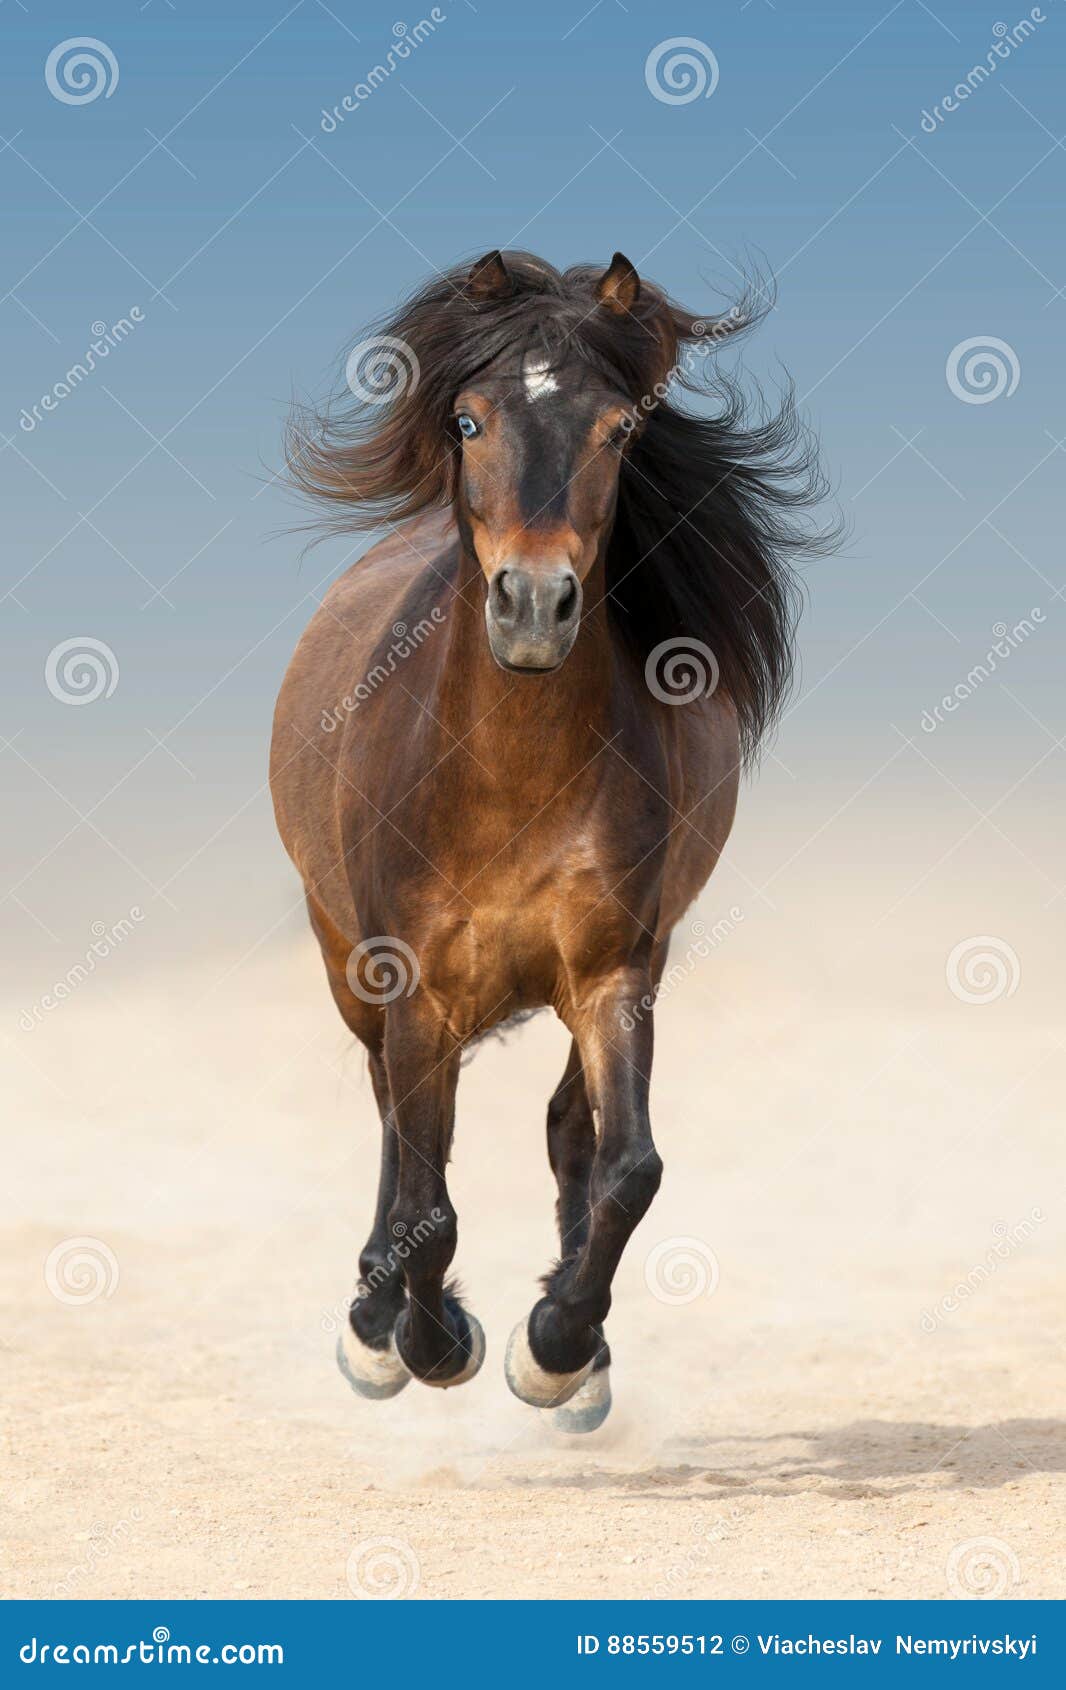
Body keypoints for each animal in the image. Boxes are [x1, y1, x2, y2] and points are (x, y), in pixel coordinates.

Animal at [270, 249, 828, 1431]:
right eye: (468, 420)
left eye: (619, 428)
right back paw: (375, 1319)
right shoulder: (417, 985)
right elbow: (427, 1190)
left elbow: (628, 1167)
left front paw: (557, 1346)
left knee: (568, 1126)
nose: (532, 605)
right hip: (348, 965)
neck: (510, 779)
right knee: (396, 1124)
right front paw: (428, 1342)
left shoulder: (614, 969)